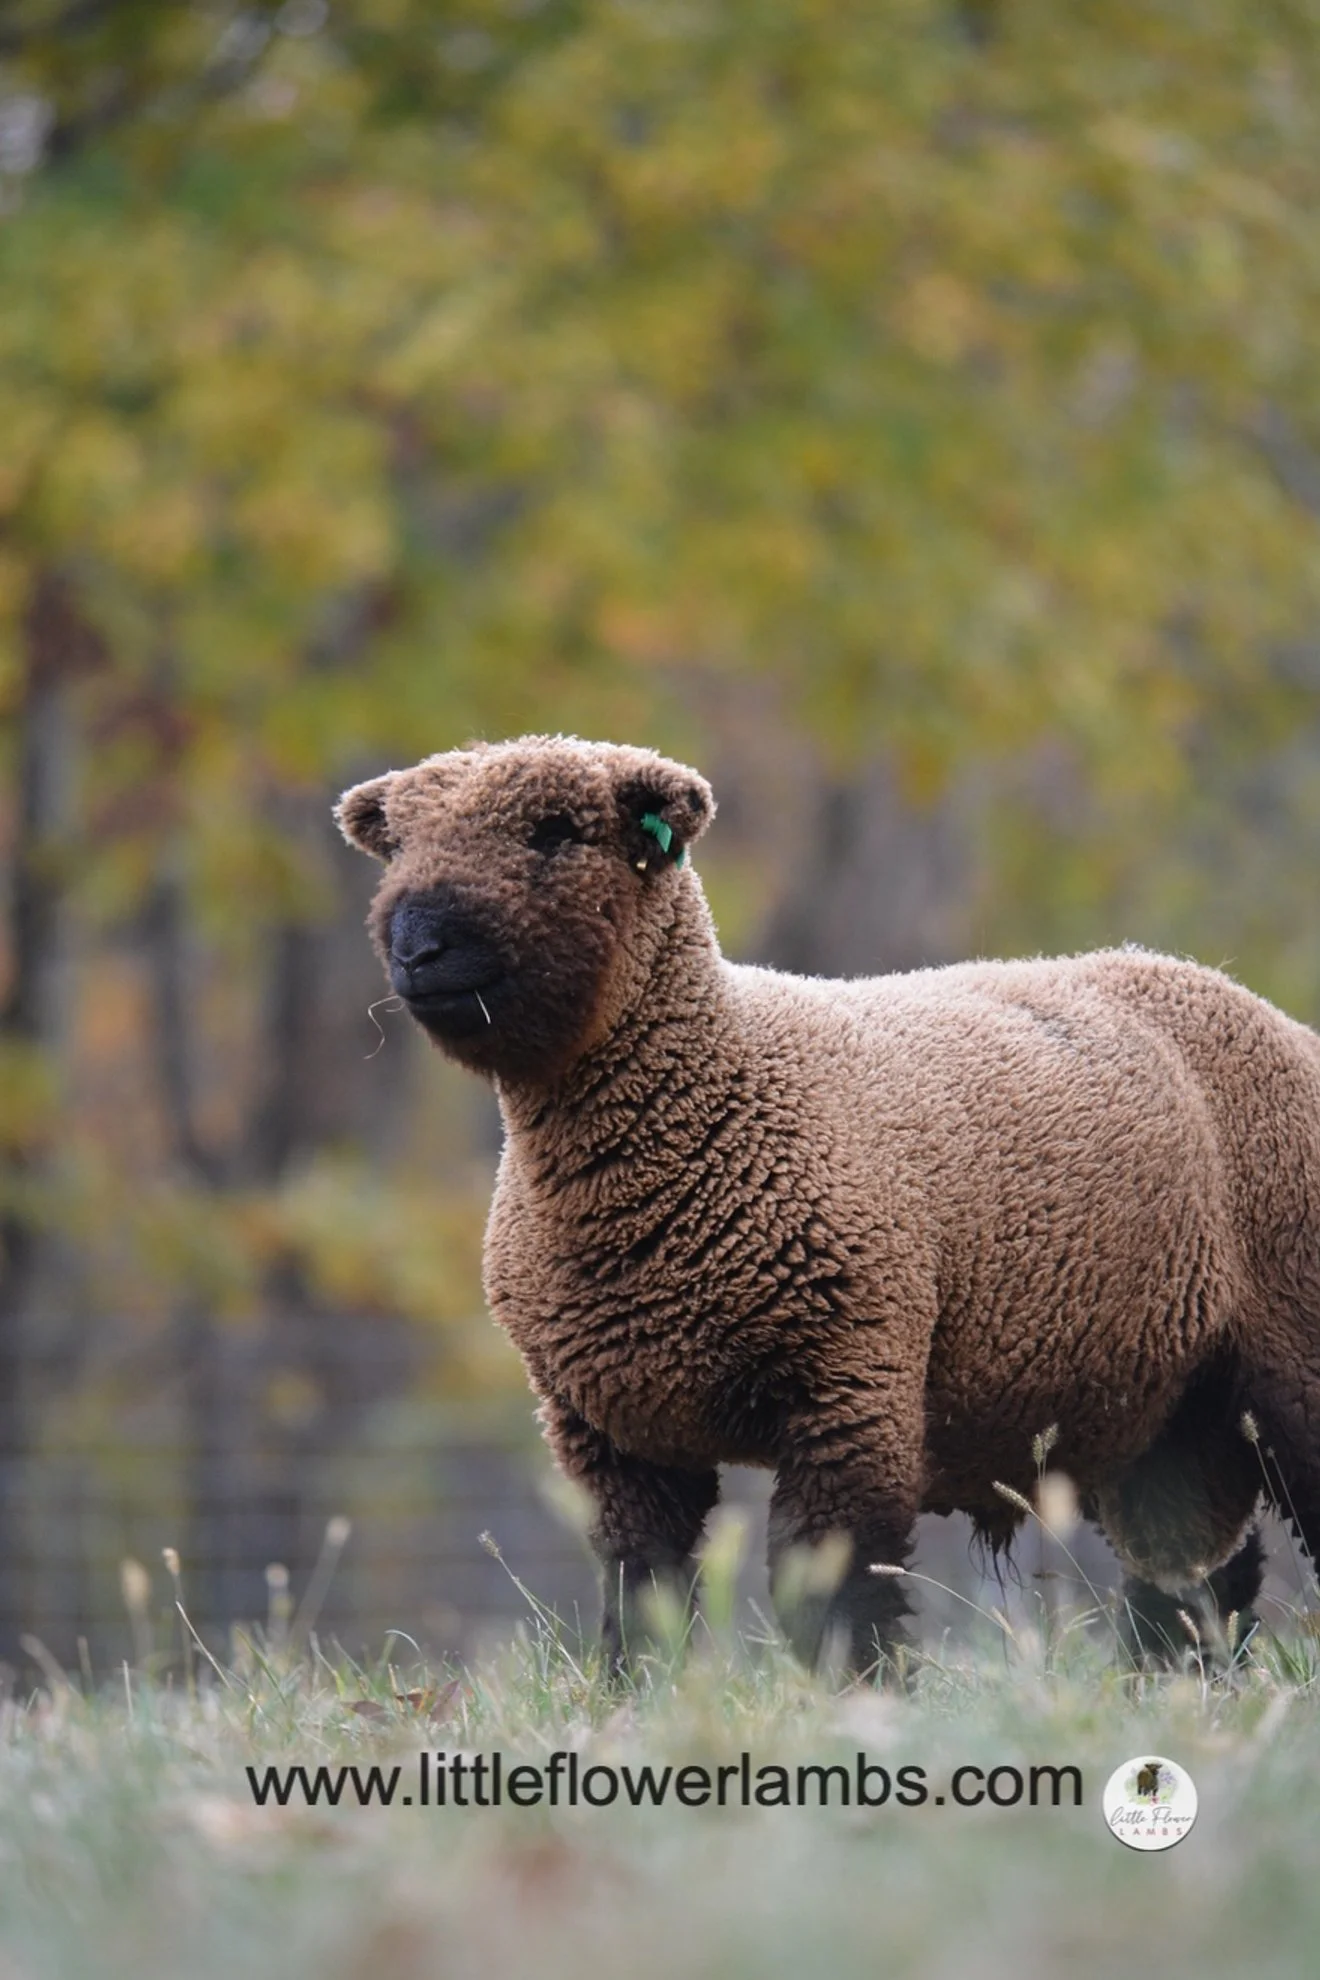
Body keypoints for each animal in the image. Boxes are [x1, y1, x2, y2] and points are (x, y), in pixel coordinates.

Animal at [336, 733, 1320, 1673]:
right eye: (400, 844)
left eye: (555, 832)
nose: (417, 946)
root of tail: (1211, 981)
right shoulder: (608, 1431)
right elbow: (641, 1593)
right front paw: (633, 1705)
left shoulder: (849, 1383)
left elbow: (832, 1587)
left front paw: (852, 1703)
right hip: (1160, 1408)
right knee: (1199, 1575)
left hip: (1292, 1339)